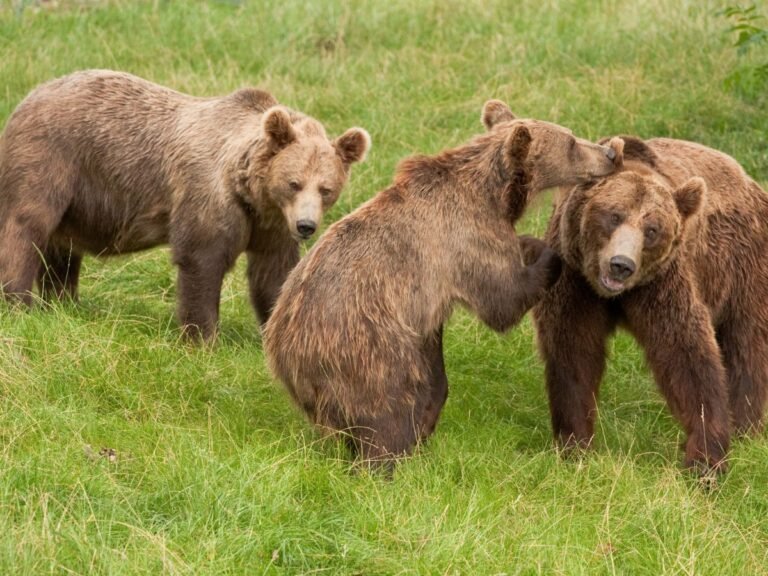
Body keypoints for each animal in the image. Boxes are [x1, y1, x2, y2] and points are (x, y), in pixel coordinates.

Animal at [0, 69, 370, 340]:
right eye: (294, 183)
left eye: (326, 189)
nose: (306, 226)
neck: (250, 191)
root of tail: (30, 96)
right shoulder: (209, 196)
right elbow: (201, 257)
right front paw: (202, 336)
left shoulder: (271, 225)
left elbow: (273, 273)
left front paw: (274, 327)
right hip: (52, 157)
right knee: (27, 226)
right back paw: (19, 302)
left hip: (76, 200)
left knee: (61, 248)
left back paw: (64, 302)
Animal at [263, 99, 624, 469]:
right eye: (571, 142)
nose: (611, 153)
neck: (496, 195)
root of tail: (283, 345)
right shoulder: (468, 240)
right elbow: (504, 300)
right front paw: (548, 253)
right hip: (365, 345)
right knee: (386, 407)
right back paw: (389, 457)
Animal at [533, 135, 768, 475]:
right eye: (613, 215)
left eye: (652, 230)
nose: (621, 265)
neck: (613, 295)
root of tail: (752, 184)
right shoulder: (574, 280)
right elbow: (573, 352)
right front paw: (574, 445)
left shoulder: (662, 285)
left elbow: (686, 357)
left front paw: (705, 459)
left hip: (743, 269)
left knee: (747, 348)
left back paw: (745, 428)